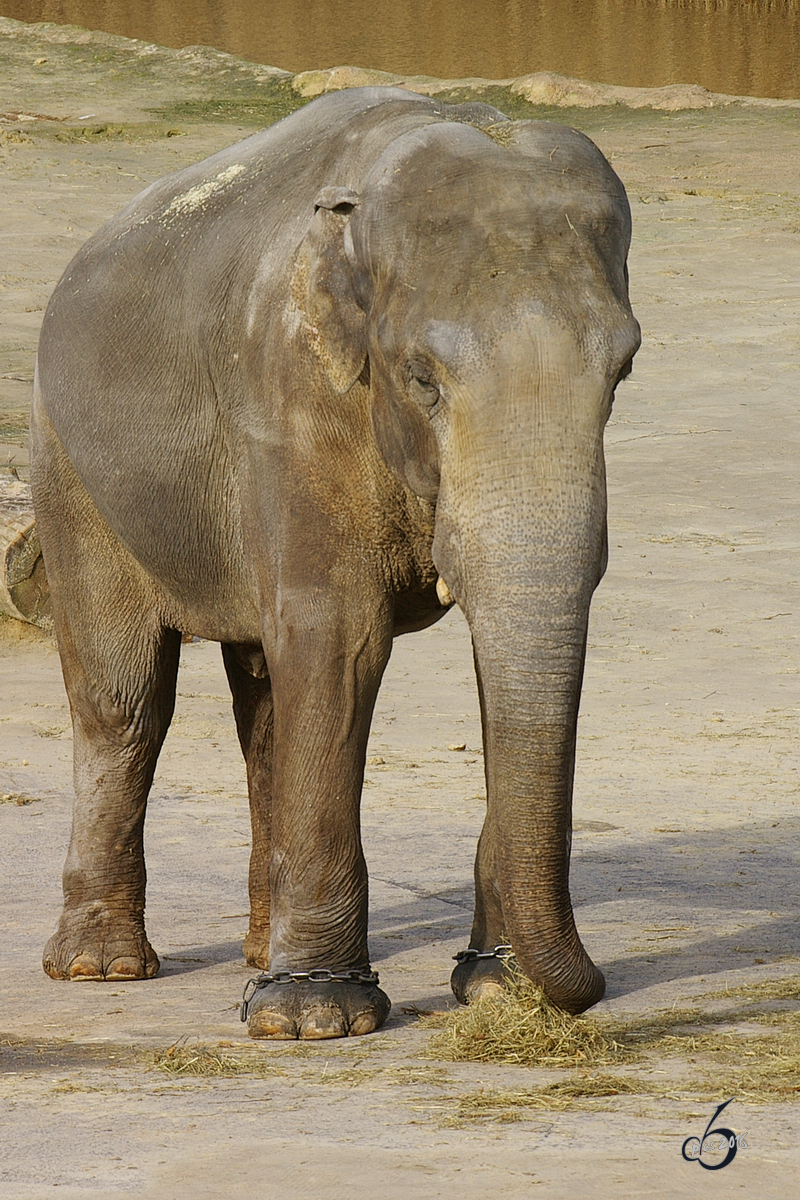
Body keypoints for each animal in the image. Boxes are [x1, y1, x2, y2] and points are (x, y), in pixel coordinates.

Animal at [31, 86, 640, 1039]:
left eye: (623, 371)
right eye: (421, 377)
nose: (582, 987)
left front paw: (497, 990)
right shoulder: (288, 396)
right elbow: (339, 639)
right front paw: (313, 1018)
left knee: (262, 702)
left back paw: (255, 955)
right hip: (70, 468)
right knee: (124, 702)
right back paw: (105, 967)